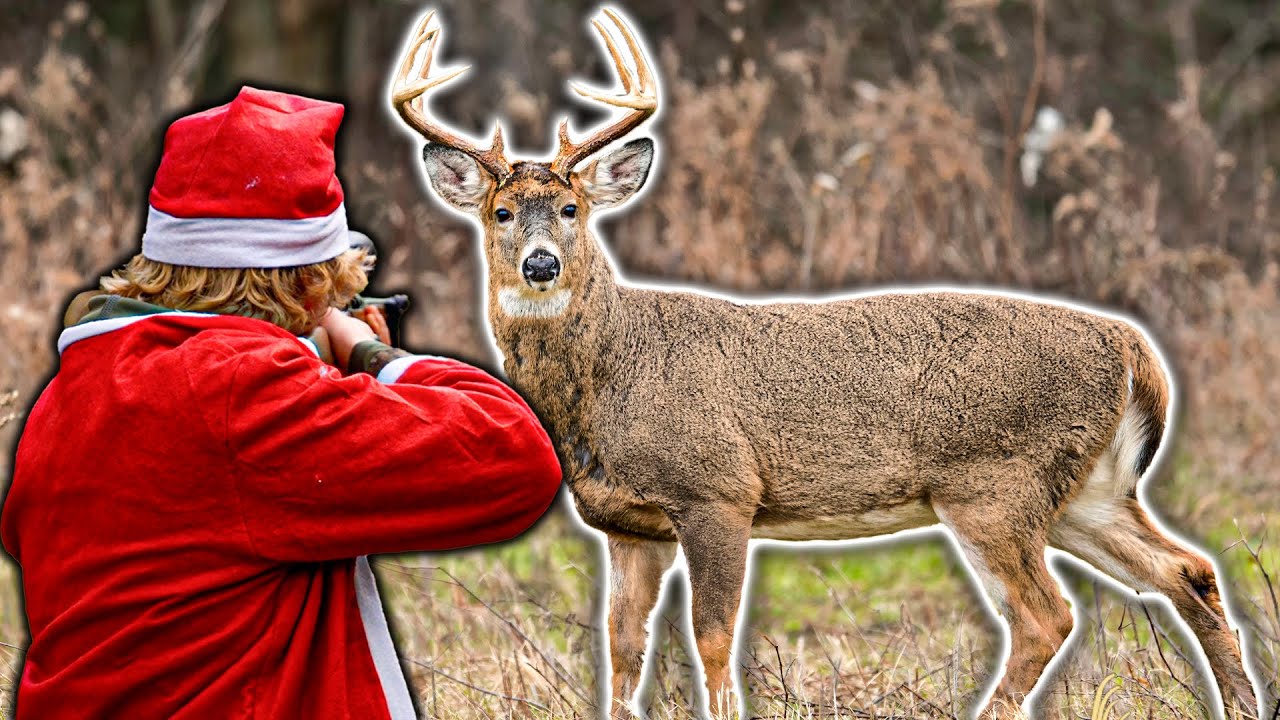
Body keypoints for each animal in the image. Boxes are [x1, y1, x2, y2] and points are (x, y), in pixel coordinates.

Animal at [389, 8, 1261, 719]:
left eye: (571, 208)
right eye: (502, 212)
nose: (539, 265)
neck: (611, 377)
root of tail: (1134, 347)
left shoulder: (718, 489)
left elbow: (712, 637)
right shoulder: (627, 524)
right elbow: (623, 649)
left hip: (995, 481)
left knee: (1048, 615)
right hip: (1087, 490)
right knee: (1188, 570)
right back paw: (1244, 704)